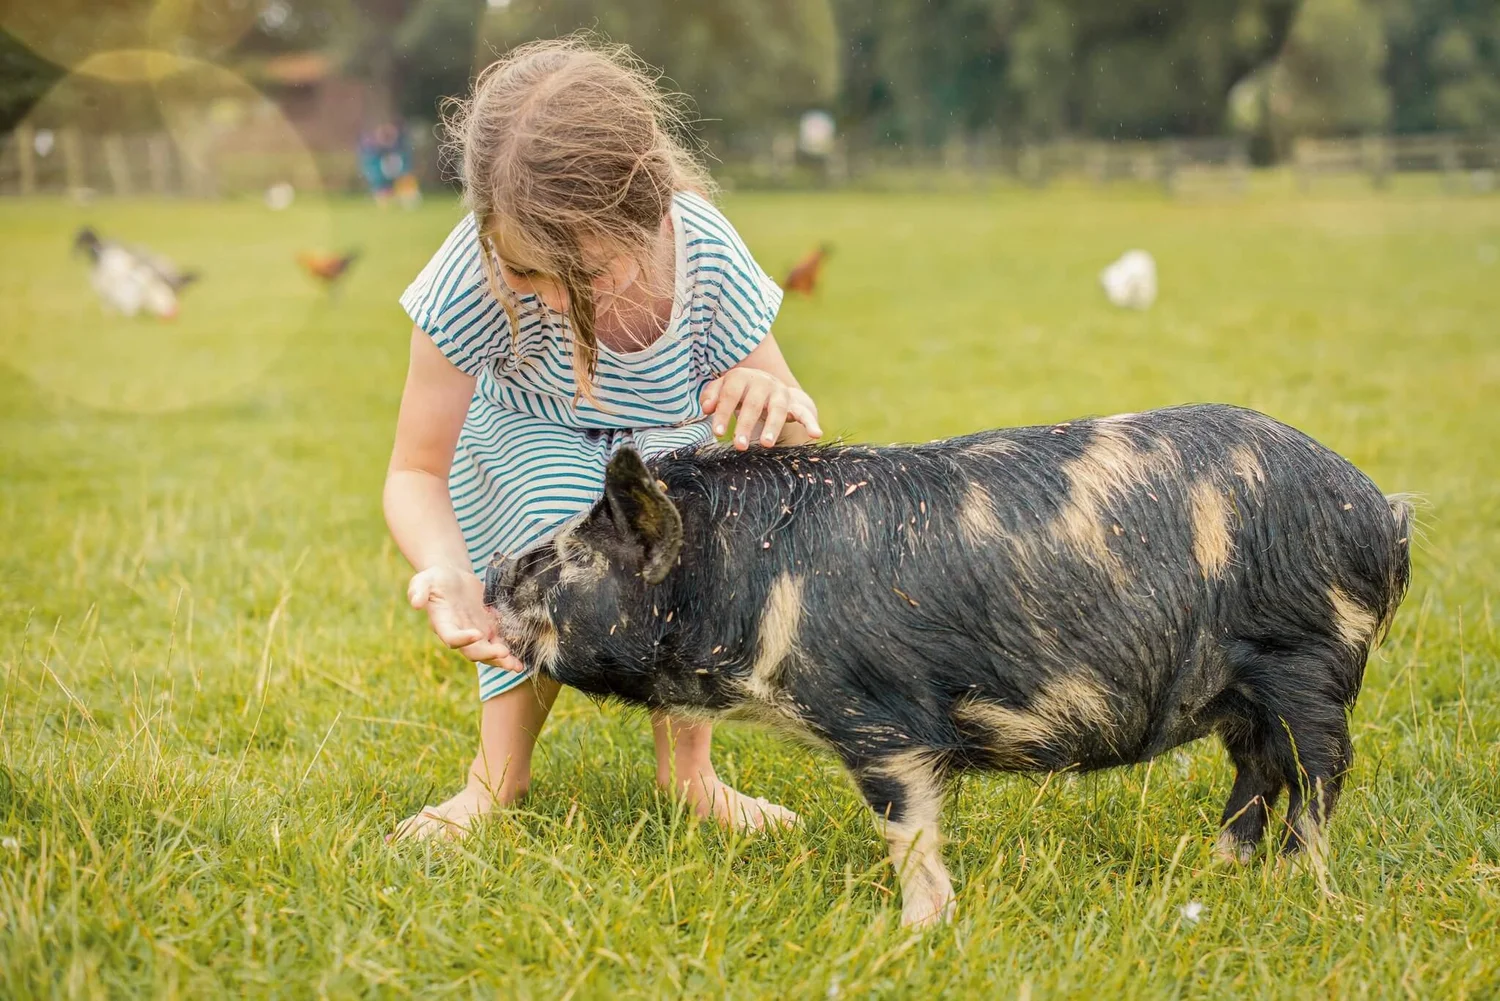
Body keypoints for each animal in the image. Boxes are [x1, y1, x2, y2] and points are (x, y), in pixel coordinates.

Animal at [484, 403, 1412, 927]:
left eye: (565, 557)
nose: (492, 572)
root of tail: (1381, 509)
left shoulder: (881, 716)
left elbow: (908, 826)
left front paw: (916, 930)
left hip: (1308, 658)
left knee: (1321, 771)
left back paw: (1301, 886)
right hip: (1242, 688)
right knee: (1257, 769)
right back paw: (1219, 870)